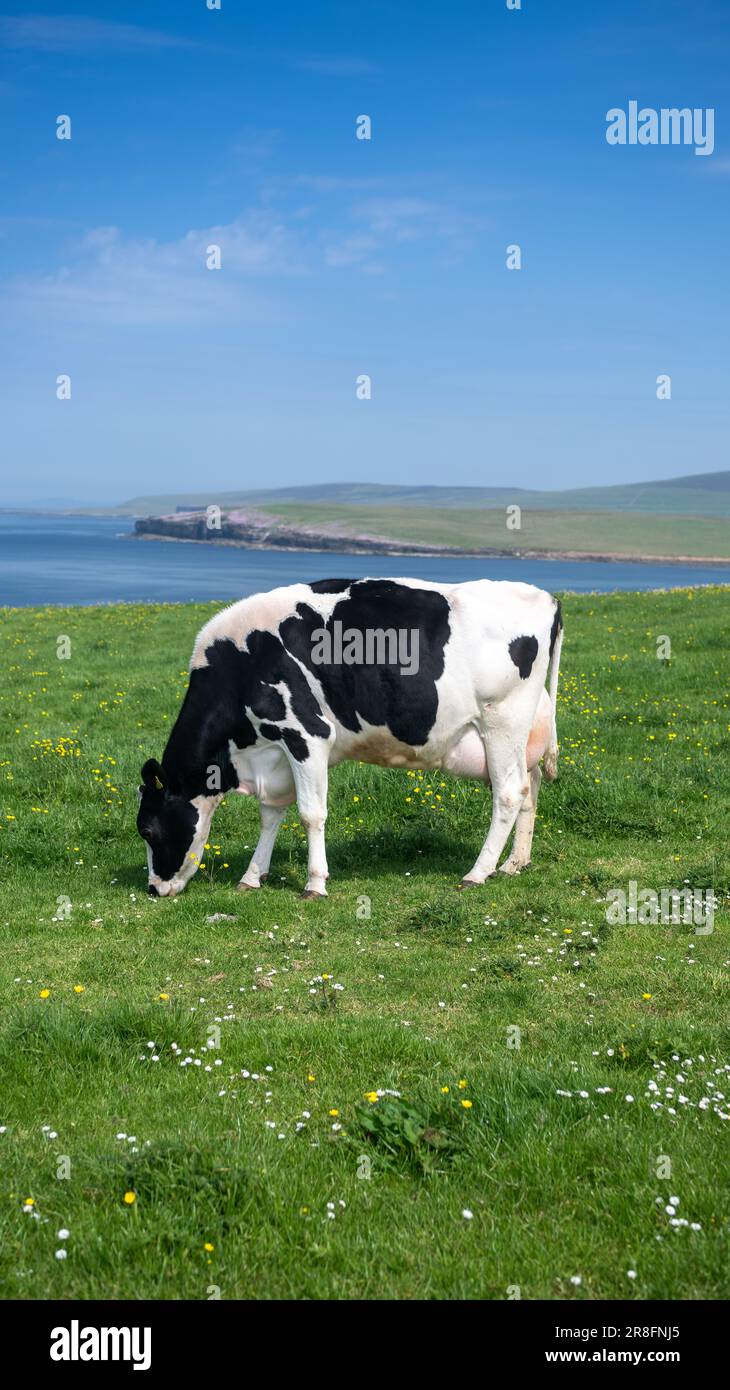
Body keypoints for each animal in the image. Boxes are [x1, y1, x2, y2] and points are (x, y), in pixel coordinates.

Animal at [137, 577, 563, 898]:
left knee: (508, 793)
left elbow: (311, 814)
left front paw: (314, 884)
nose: (154, 889)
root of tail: (547, 597)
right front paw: (252, 876)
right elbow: (271, 813)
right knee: (530, 788)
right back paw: (514, 863)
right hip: (525, 731)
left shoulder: (306, 734)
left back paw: (478, 871)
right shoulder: (276, 754)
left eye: (148, 829)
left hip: (502, 721)